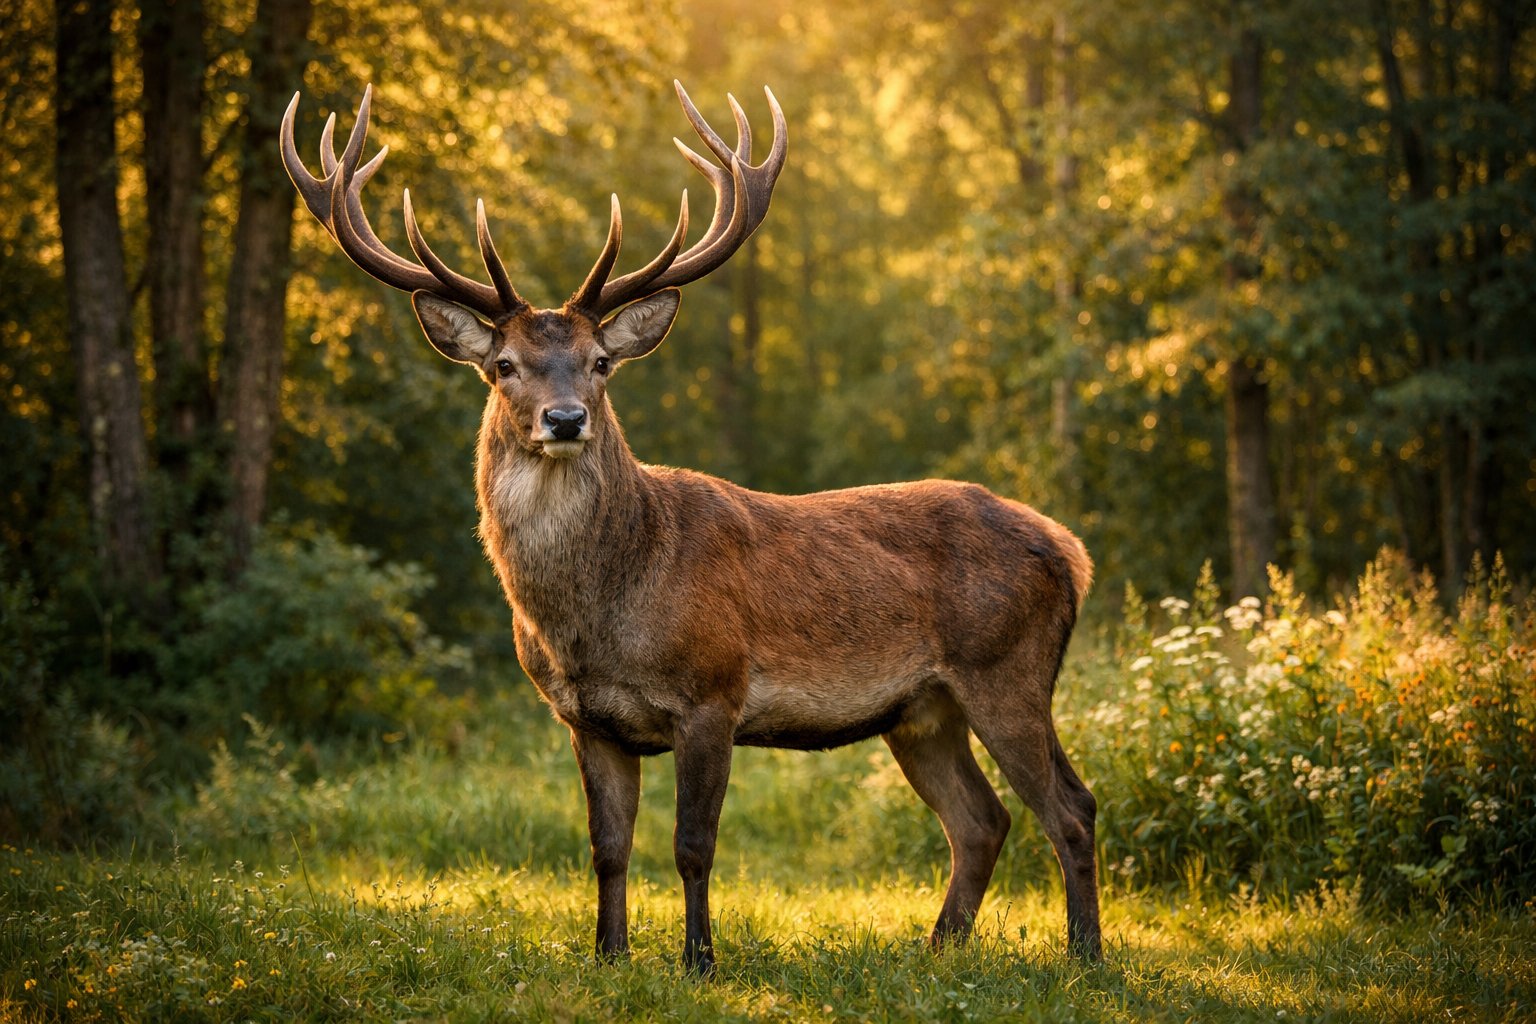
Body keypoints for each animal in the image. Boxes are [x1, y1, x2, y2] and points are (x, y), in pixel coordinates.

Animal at [281, 81, 1102, 973]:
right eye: (504, 367)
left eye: (601, 364)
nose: (564, 419)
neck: (596, 616)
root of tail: (1071, 551)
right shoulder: (585, 718)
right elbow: (607, 848)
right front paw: (609, 956)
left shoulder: (714, 692)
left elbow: (692, 846)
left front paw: (699, 962)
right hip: (923, 711)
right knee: (982, 818)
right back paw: (939, 952)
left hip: (1007, 669)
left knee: (1071, 806)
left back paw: (1084, 958)